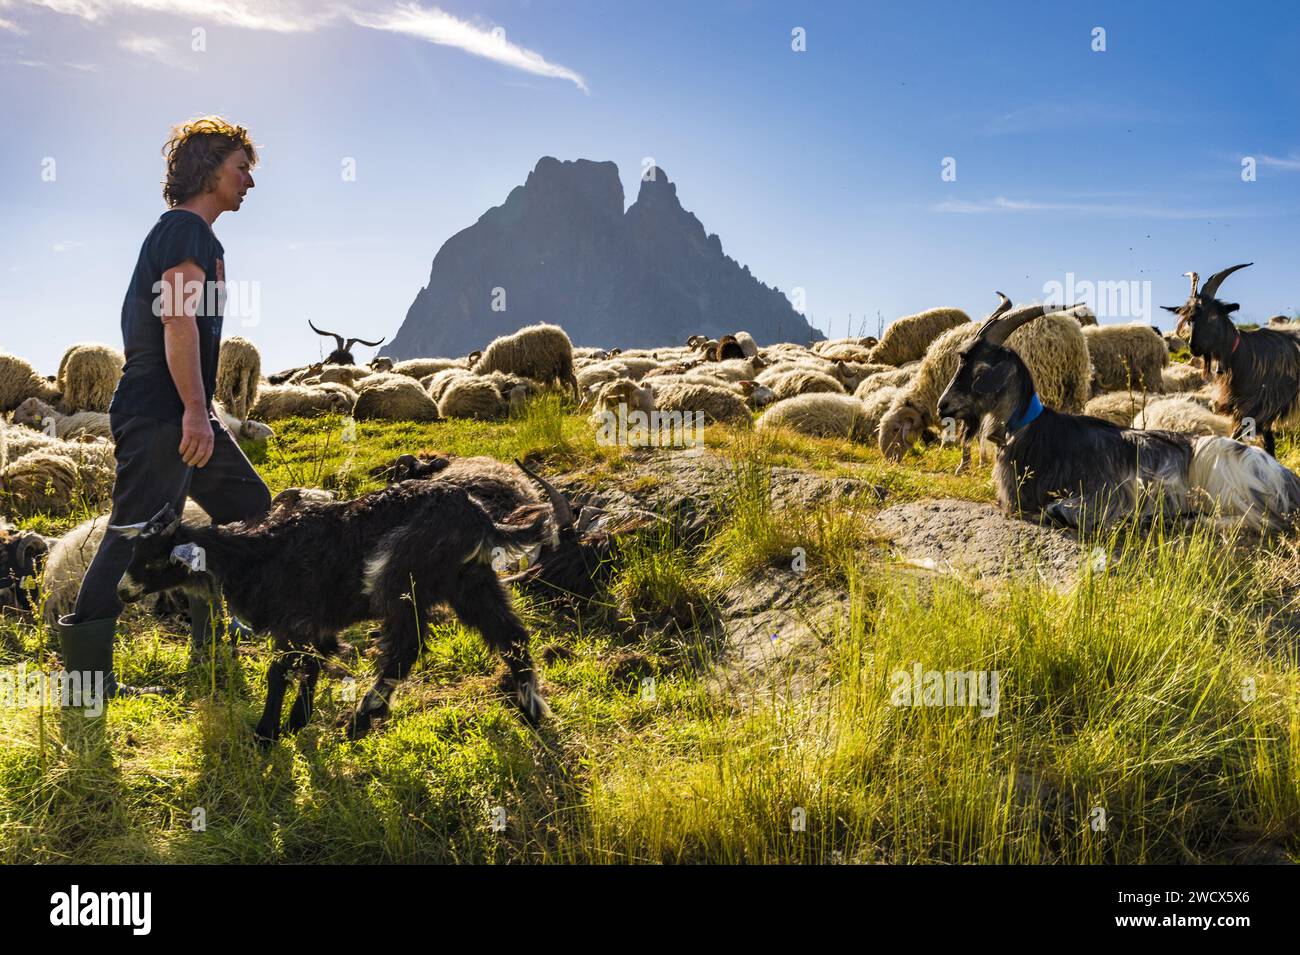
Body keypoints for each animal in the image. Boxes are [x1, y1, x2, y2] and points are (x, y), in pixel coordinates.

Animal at [112, 481, 555, 741]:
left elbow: (280, 671)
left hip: (399, 577)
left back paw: (363, 716)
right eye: (135, 551)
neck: (255, 554)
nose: (122, 591)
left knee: (404, 649)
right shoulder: (316, 625)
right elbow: (313, 664)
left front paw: (267, 733)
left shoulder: (293, 621)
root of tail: (481, 519)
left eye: (156, 559)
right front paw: (296, 722)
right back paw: (531, 707)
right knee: (511, 635)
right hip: (471, 581)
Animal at [878, 299, 1092, 466]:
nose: (888, 459)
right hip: (1073, 390)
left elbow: (966, 436)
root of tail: (1069, 334)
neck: (929, 386)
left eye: (896, 429)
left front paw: (966, 465)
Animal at [936, 303, 1300, 534]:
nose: (942, 406)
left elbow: (1059, 509)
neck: (1029, 429)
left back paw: (1179, 519)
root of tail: (1285, 478)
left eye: (980, 367)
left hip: (1217, 464)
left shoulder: (1109, 491)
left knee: (1262, 520)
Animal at [1163, 263, 1300, 458]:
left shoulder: (1255, 407)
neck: (1242, 355)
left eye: (1213, 316)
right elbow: (1268, 445)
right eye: (1190, 319)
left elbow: (1237, 437)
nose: (1193, 347)